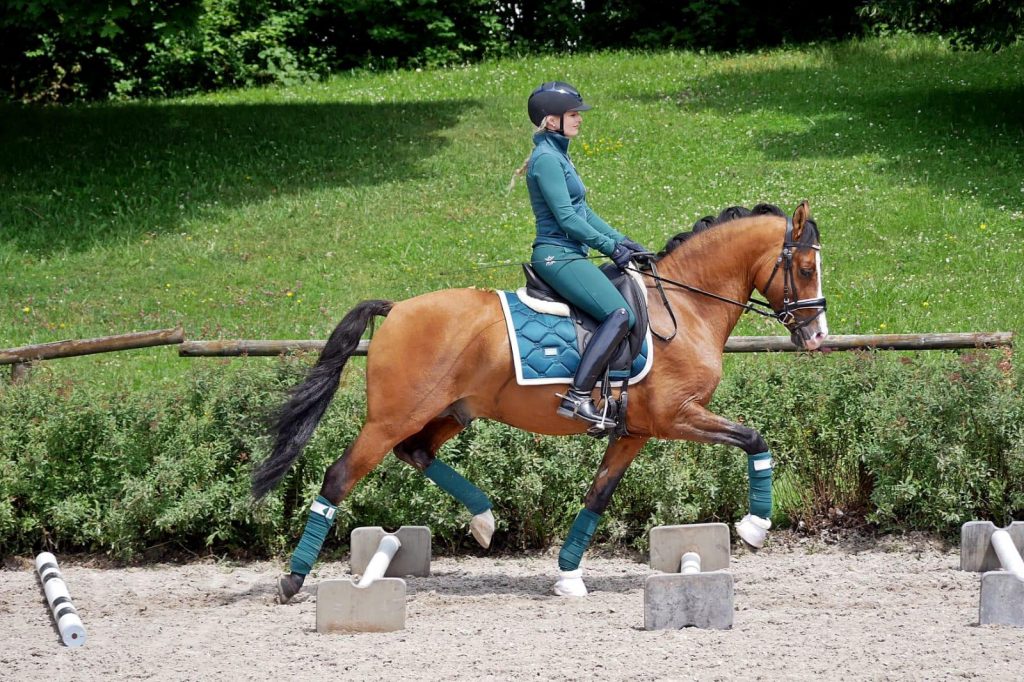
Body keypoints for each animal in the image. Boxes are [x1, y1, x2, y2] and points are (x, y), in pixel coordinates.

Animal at [253, 201, 829, 602]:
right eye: (805, 268)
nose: (818, 336)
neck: (685, 307)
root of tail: (396, 310)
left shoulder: (635, 431)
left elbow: (598, 496)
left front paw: (569, 576)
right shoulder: (677, 417)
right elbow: (754, 438)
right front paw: (754, 527)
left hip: (453, 411)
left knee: (416, 452)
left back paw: (484, 519)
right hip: (390, 418)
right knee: (339, 477)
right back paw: (292, 580)